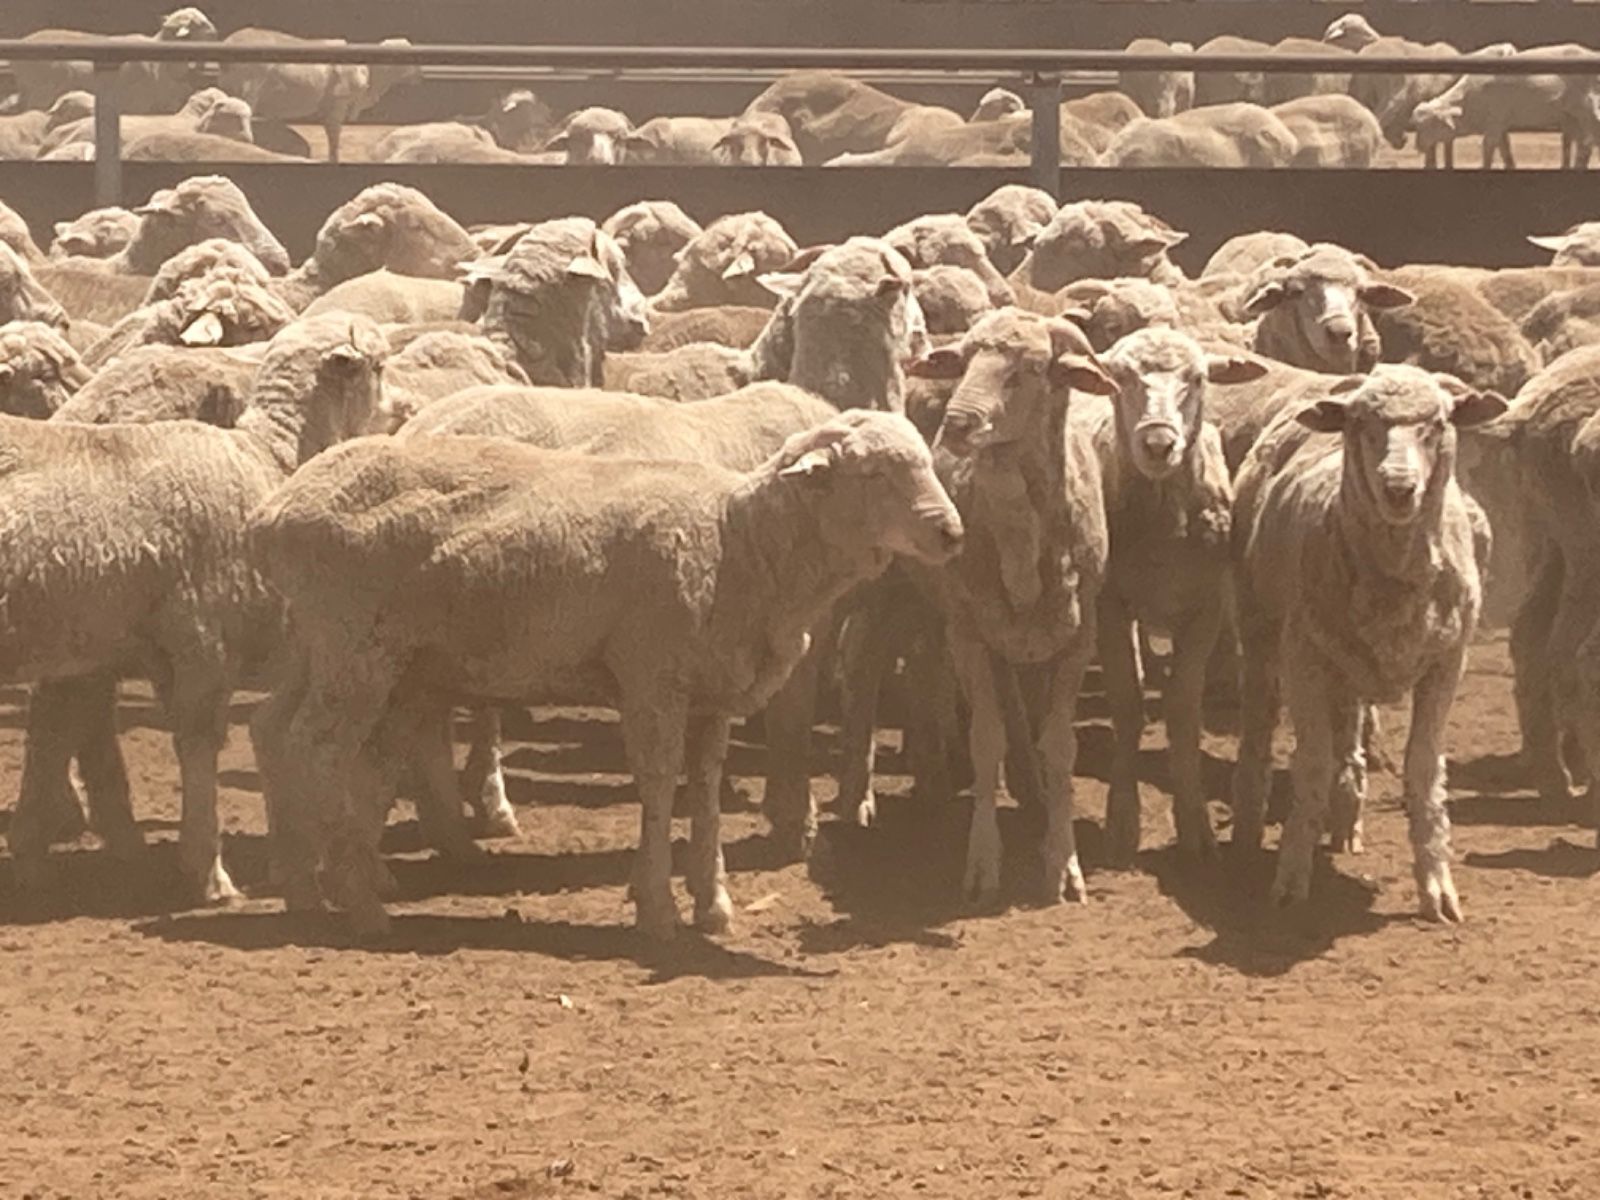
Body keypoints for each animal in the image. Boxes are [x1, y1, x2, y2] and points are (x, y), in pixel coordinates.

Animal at [1, 311, 388, 904]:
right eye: (381, 365)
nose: (404, 413)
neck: (269, 458)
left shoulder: (118, 647)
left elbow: (54, 737)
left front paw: (30, 856)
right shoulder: (203, 635)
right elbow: (199, 745)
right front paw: (209, 872)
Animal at [249, 407, 963, 935]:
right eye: (874, 473)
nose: (952, 534)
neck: (738, 542)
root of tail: (273, 511)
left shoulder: (712, 691)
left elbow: (706, 790)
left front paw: (713, 901)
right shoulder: (653, 678)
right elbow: (658, 786)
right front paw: (658, 907)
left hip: (320, 644)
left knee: (272, 730)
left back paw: (307, 886)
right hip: (353, 648)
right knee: (314, 748)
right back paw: (357, 902)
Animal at [910, 307, 1116, 904]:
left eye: (1031, 368)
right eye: (966, 359)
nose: (958, 423)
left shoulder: (1078, 640)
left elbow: (1062, 747)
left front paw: (1063, 864)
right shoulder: (970, 637)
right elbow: (986, 740)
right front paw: (983, 863)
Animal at [1084, 328, 1266, 862]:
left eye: (1199, 378)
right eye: (1119, 377)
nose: (1159, 443)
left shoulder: (1205, 609)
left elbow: (1185, 712)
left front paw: (1195, 826)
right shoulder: (1110, 605)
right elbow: (1127, 704)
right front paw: (1122, 823)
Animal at [1231, 366, 1506, 918]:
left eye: (1438, 422)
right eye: (1360, 423)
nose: (1399, 487)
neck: (1396, 577)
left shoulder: (1448, 663)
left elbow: (1423, 768)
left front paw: (1437, 887)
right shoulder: (1303, 658)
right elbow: (1312, 764)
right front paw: (1290, 881)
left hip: (1348, 662)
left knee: (1348, 734)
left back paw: (1346, 817)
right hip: (1261, 625)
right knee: (1259, 727)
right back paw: (1249, 826)